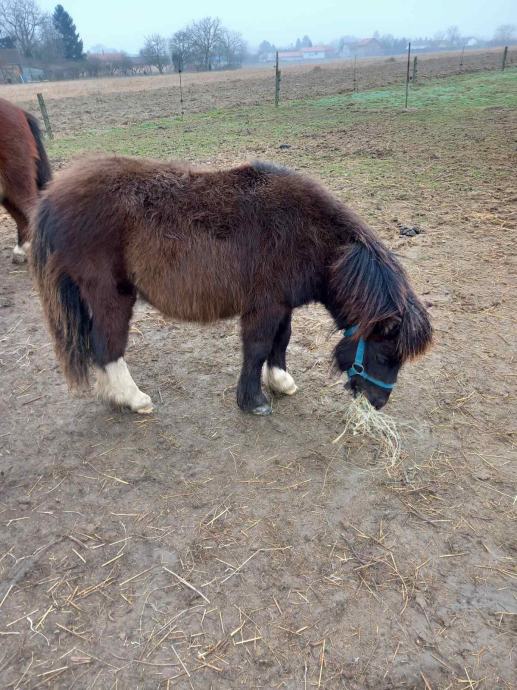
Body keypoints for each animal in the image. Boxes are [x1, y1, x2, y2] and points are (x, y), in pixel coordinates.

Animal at [31, 156, 432, 416]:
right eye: (386, 354)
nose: (377, 403)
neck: (308, 233)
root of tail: (51, 196)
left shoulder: (282, 304)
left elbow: (281, 341)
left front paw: (280, 381)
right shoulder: (264, 306)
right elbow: (257, 348)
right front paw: (253, 401)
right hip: (111, 295)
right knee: (106, 346)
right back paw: (134, 399)